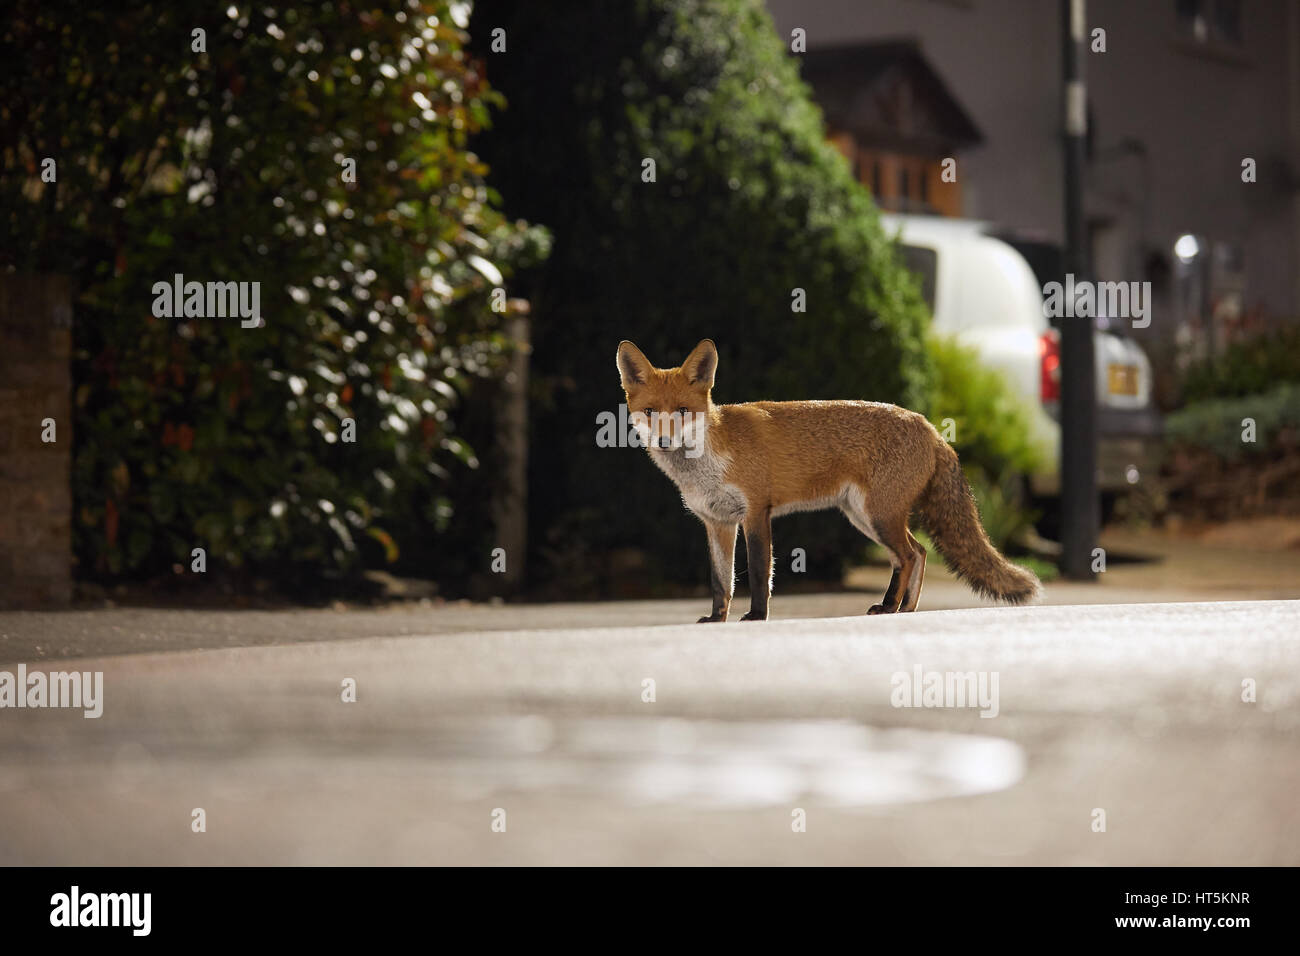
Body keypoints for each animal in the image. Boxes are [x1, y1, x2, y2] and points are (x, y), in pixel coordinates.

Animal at [616, 338, 1042, 622]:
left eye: (682, 411)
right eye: (651, 412)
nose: (664, 441)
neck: (711, 457)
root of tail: (930, 426)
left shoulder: (756, 512)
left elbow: (758, 572)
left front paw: (756, 617)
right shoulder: (717, 522)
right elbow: (722, 581)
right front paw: (717, 619)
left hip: (878, 516)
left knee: (908, 555)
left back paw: (890, 607)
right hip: (865, 518)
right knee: (918, 553)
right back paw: (905, 608)